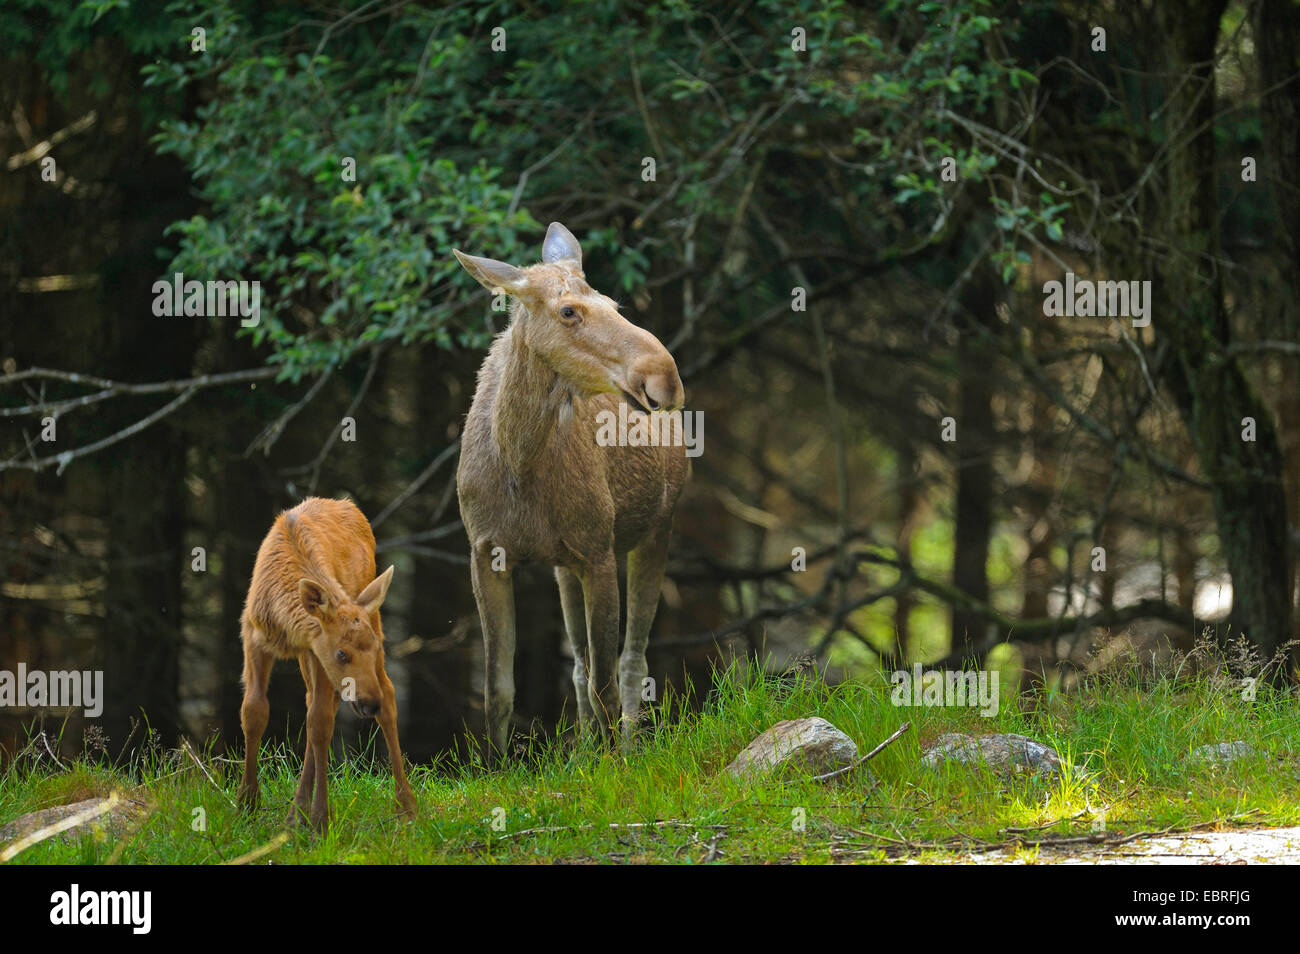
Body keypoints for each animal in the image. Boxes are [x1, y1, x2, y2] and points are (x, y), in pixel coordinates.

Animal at [236, 496, 417, 833]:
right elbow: (253, 710)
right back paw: (295, 813)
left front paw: (321, 820)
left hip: (371, 610)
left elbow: (320, 723)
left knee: (386, 693)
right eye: (342, 654)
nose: (368, 703)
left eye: (373, 648)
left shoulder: (317, 649)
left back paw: (407, 807)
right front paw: (247, 803)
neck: (285, 625)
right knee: (317, 702)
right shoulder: (255, 634)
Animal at [453, 222, 689, 759]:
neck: (518, 463)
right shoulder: (484, 552)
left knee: (632, 660)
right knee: (579, 666)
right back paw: (584, 748)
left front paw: (610, 766)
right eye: (568, 311)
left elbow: (607, 679)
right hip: (564, 565)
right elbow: (497, 690)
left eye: (615, 303)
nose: (664, 377)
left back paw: (626, 748)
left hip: (658, 529)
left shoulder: (598, 551)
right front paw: (496, 766)